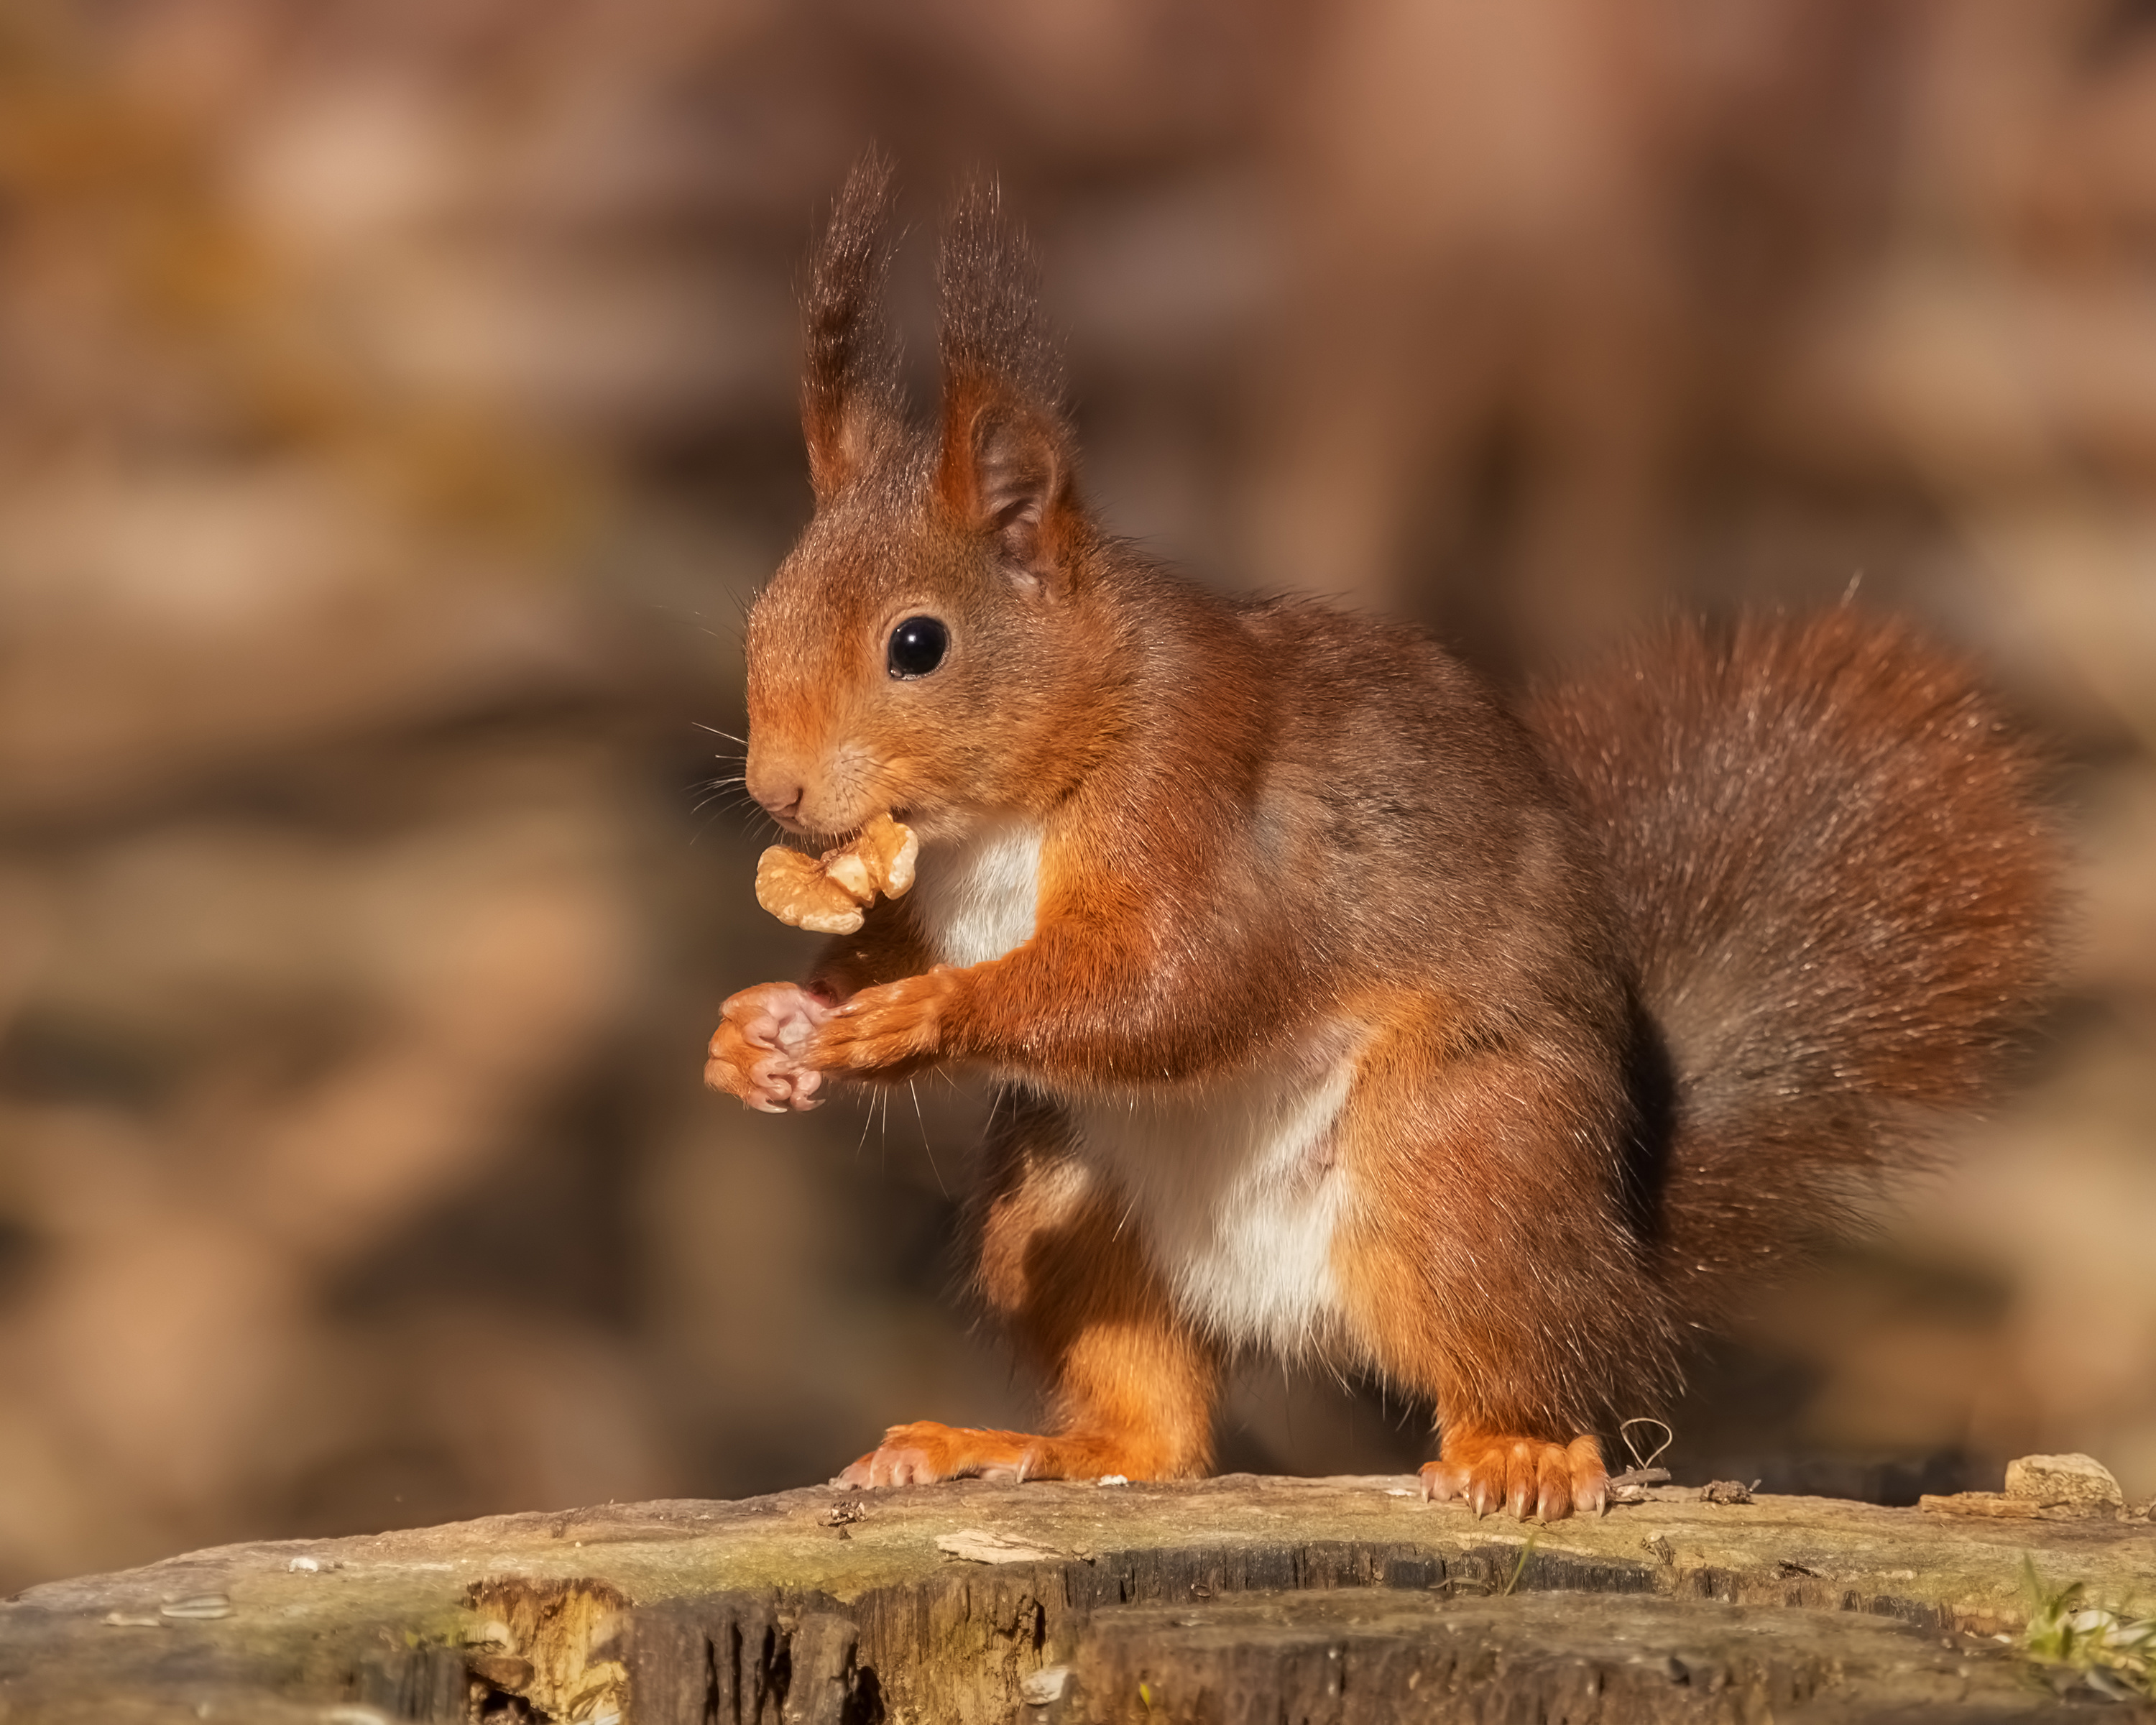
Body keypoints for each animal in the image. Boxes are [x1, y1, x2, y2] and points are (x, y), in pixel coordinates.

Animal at [703, 155, 2062, 1521]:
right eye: (764, 612)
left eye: (917, 644)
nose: (781, 792)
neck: (1007, 811)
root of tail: (1620, 1256)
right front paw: (766, 1030)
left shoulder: (1191, 797)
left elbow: (1180, 980)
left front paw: (922, 1017)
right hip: (1063, 1201)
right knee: (1156, 1429)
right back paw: (1016, 1445)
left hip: (1457, 1166)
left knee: (1523, 1362)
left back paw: (1520, 1453)